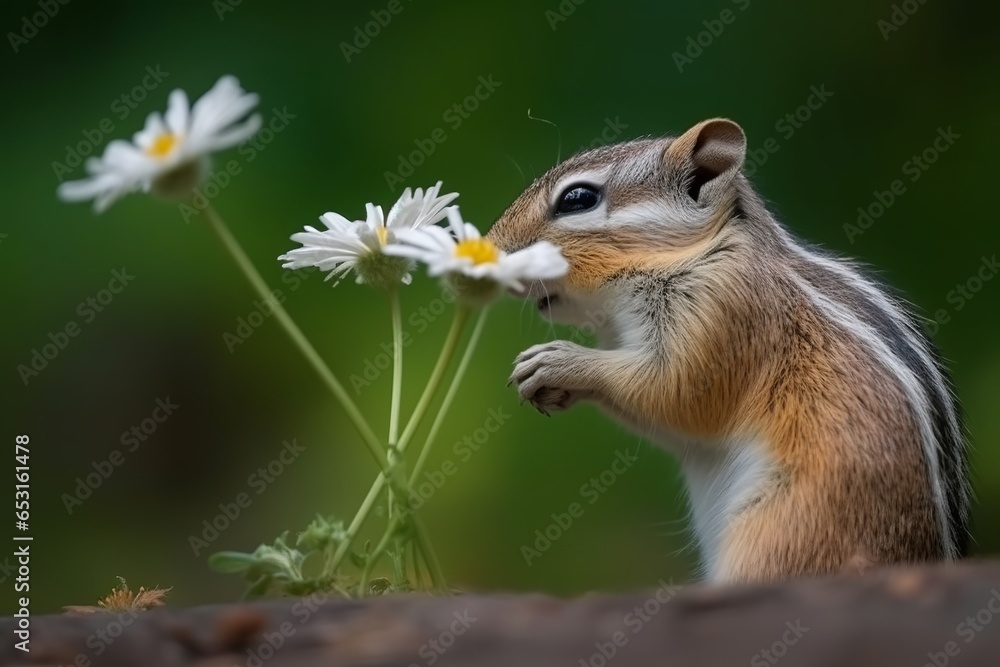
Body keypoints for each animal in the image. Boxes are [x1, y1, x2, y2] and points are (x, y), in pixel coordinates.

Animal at [487, 118, 969, 583]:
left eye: (578, 199)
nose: (493, 248)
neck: (699, 252)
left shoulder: (723, 312)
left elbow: (674, 392)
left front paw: (560, 362)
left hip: (780, 536)